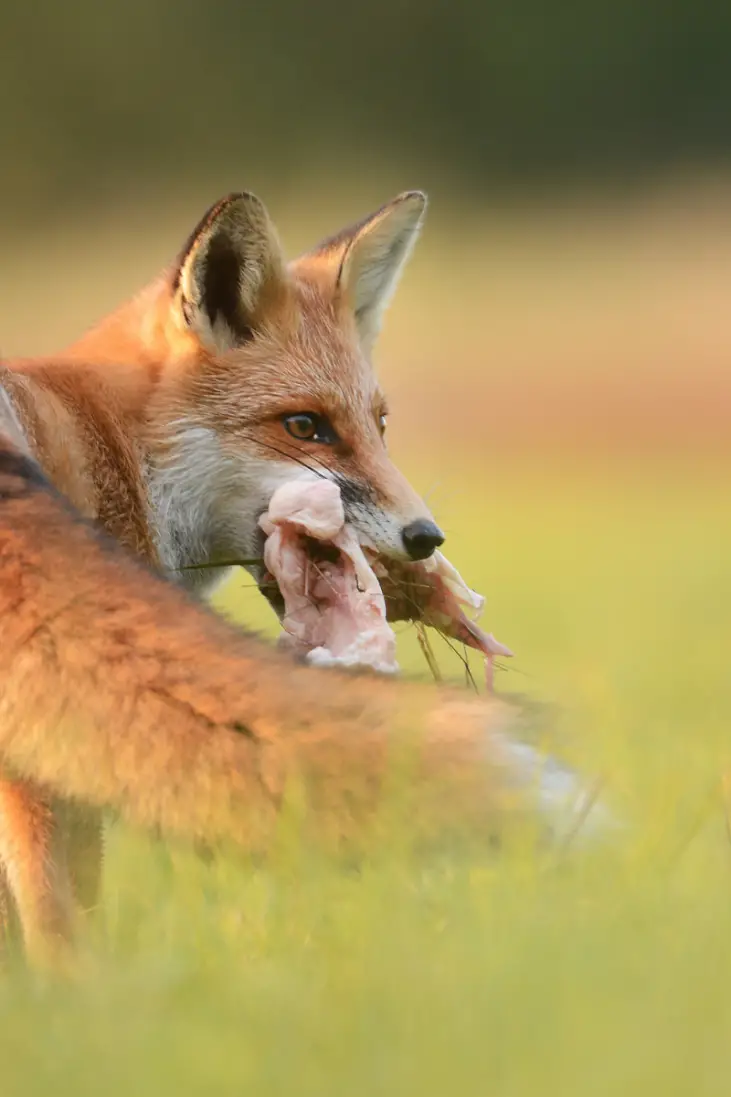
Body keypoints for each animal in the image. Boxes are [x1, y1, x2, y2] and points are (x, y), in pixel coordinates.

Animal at [0, 190, 607, 967]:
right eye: (304, 426)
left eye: (380, 424)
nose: (425, 538)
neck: (106, 442)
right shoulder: (44, 770)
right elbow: (63, 918)